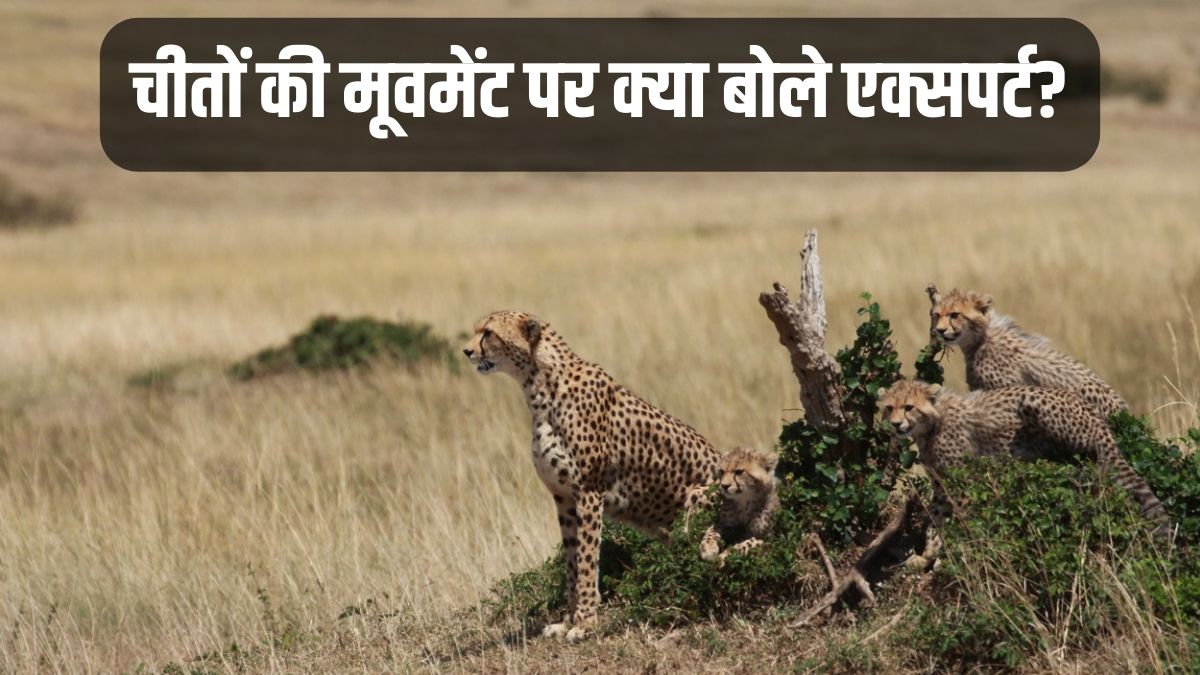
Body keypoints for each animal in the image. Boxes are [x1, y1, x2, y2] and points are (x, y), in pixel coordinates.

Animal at [463, 310, 721, 642]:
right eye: (477, 330)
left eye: (489, 333)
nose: (467, 351)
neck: (539, 385)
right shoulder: (563, 498)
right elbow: (572, 562)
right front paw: (567, 621)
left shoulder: (588, 492)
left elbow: (587, 560)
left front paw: (585, 624)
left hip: (700, 496)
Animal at [877, 379, 1169, 567]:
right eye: (889, 407)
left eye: (909, 407)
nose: (896, 424)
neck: (931, 425)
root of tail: (1098, 418)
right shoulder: (942, 485)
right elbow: (936, 518)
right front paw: (927, 554)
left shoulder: (965, 480)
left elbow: (963, 521)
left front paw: (955, 553)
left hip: (1034, 401)